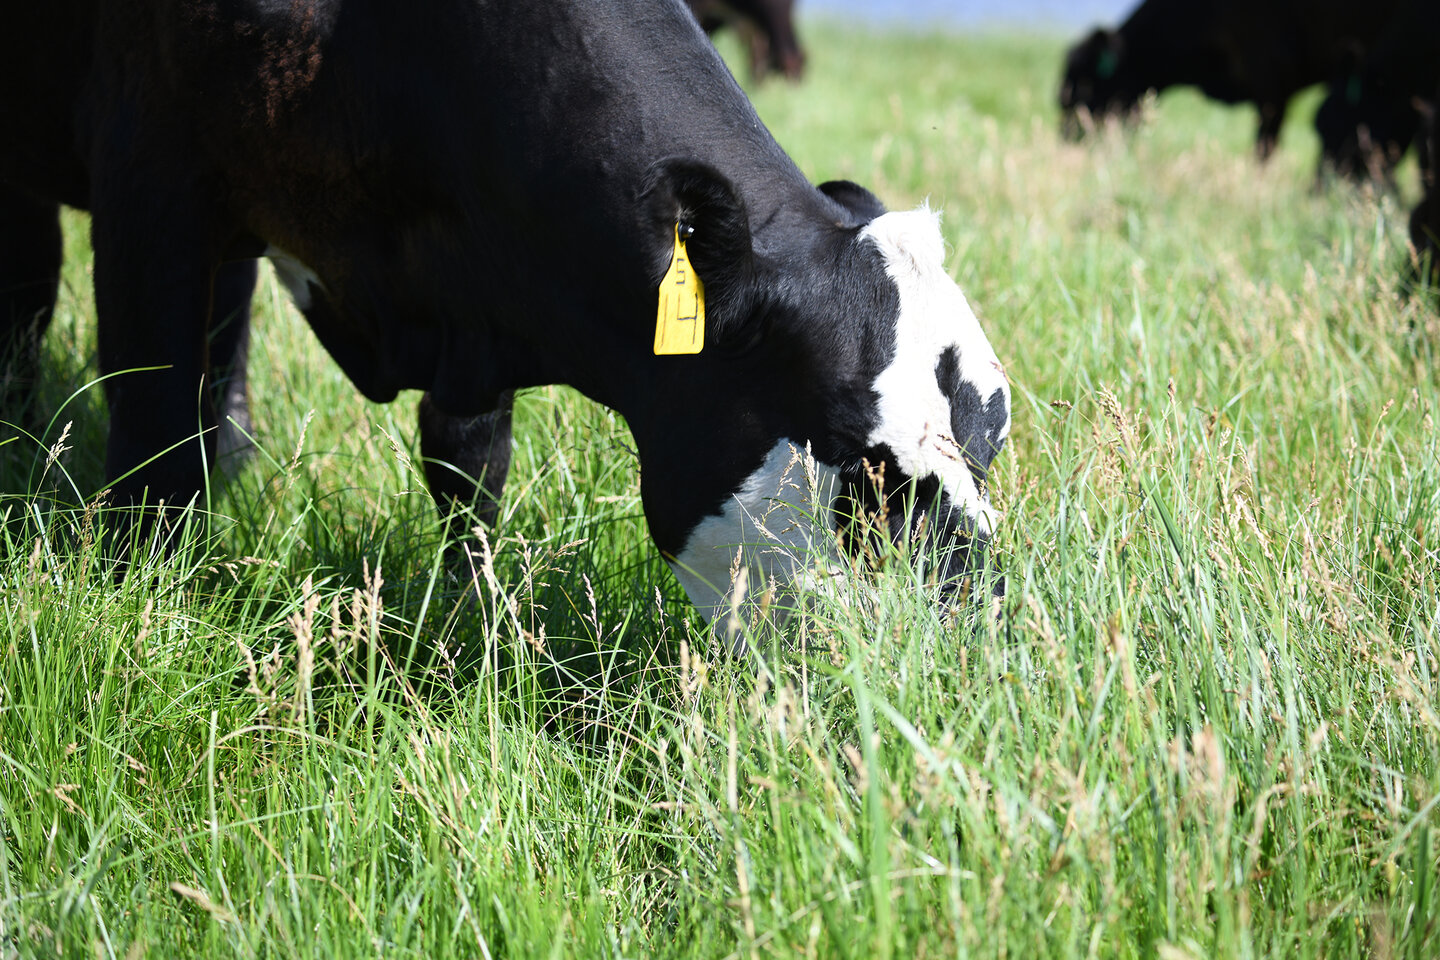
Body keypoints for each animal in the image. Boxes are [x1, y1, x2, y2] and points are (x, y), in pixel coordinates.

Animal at [0, 0, 1009, 639]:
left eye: (991, 435)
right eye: (862, 465)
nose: (978, 637)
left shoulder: (476, 284)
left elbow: (468, 470)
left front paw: (471, 607)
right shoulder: (151, 175)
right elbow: (154, 441)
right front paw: (141, 608)